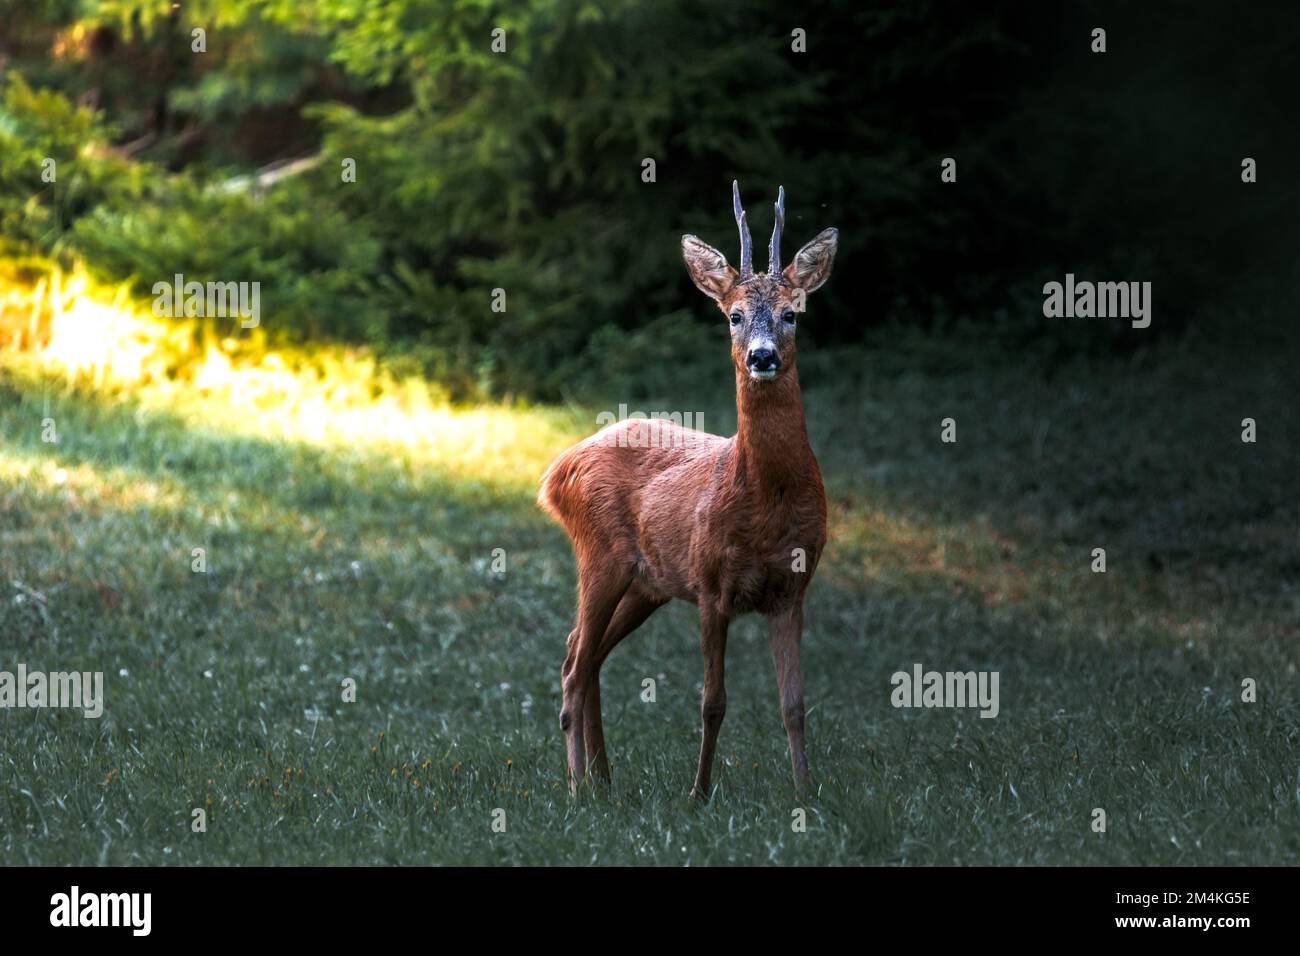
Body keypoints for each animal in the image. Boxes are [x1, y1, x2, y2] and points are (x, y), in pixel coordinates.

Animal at [538, 182, 837, 799]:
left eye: (792, 314)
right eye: (734, 316)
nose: (763, 356)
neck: (766, 502)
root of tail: (558, 471)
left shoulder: (792, 589)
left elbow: (794, 705)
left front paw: (806, 792)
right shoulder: (710, 583)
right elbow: (712, 703)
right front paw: (698, 795)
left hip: (645, 584)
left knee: (587, 655)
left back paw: (605, 779)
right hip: (599, 556)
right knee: (575, 661)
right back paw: (579, 786)